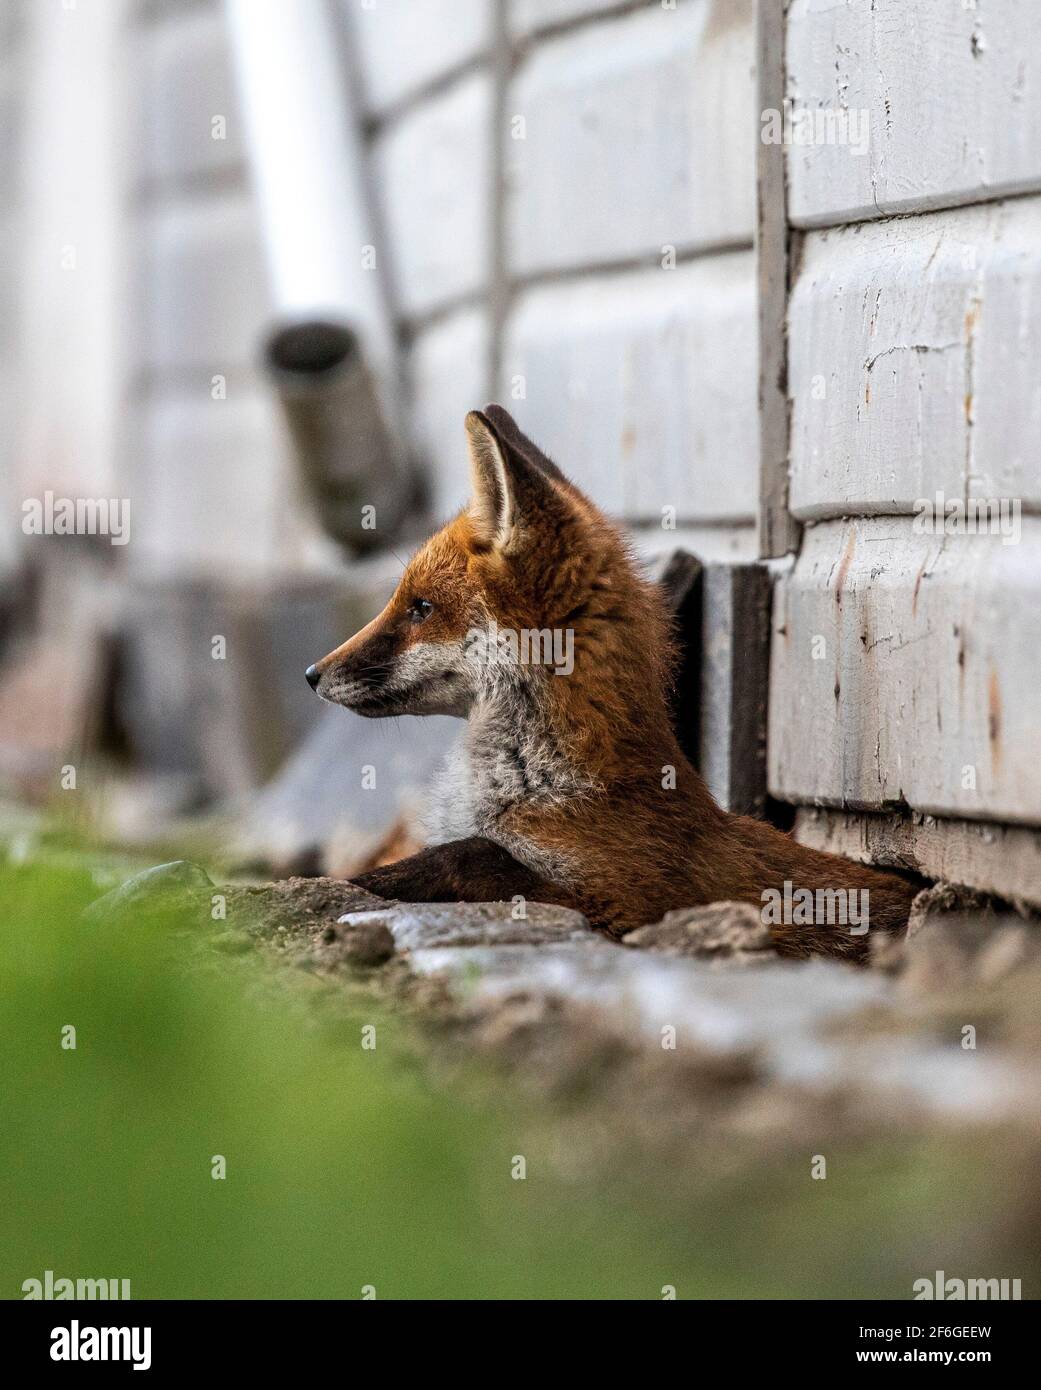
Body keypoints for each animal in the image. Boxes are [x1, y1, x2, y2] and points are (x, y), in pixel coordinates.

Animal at [305, 405, 917, 960]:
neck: (539, 783)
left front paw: (341, 887)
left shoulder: (629, 909)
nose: (312, 674)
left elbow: (468, 854)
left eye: (421, 608)